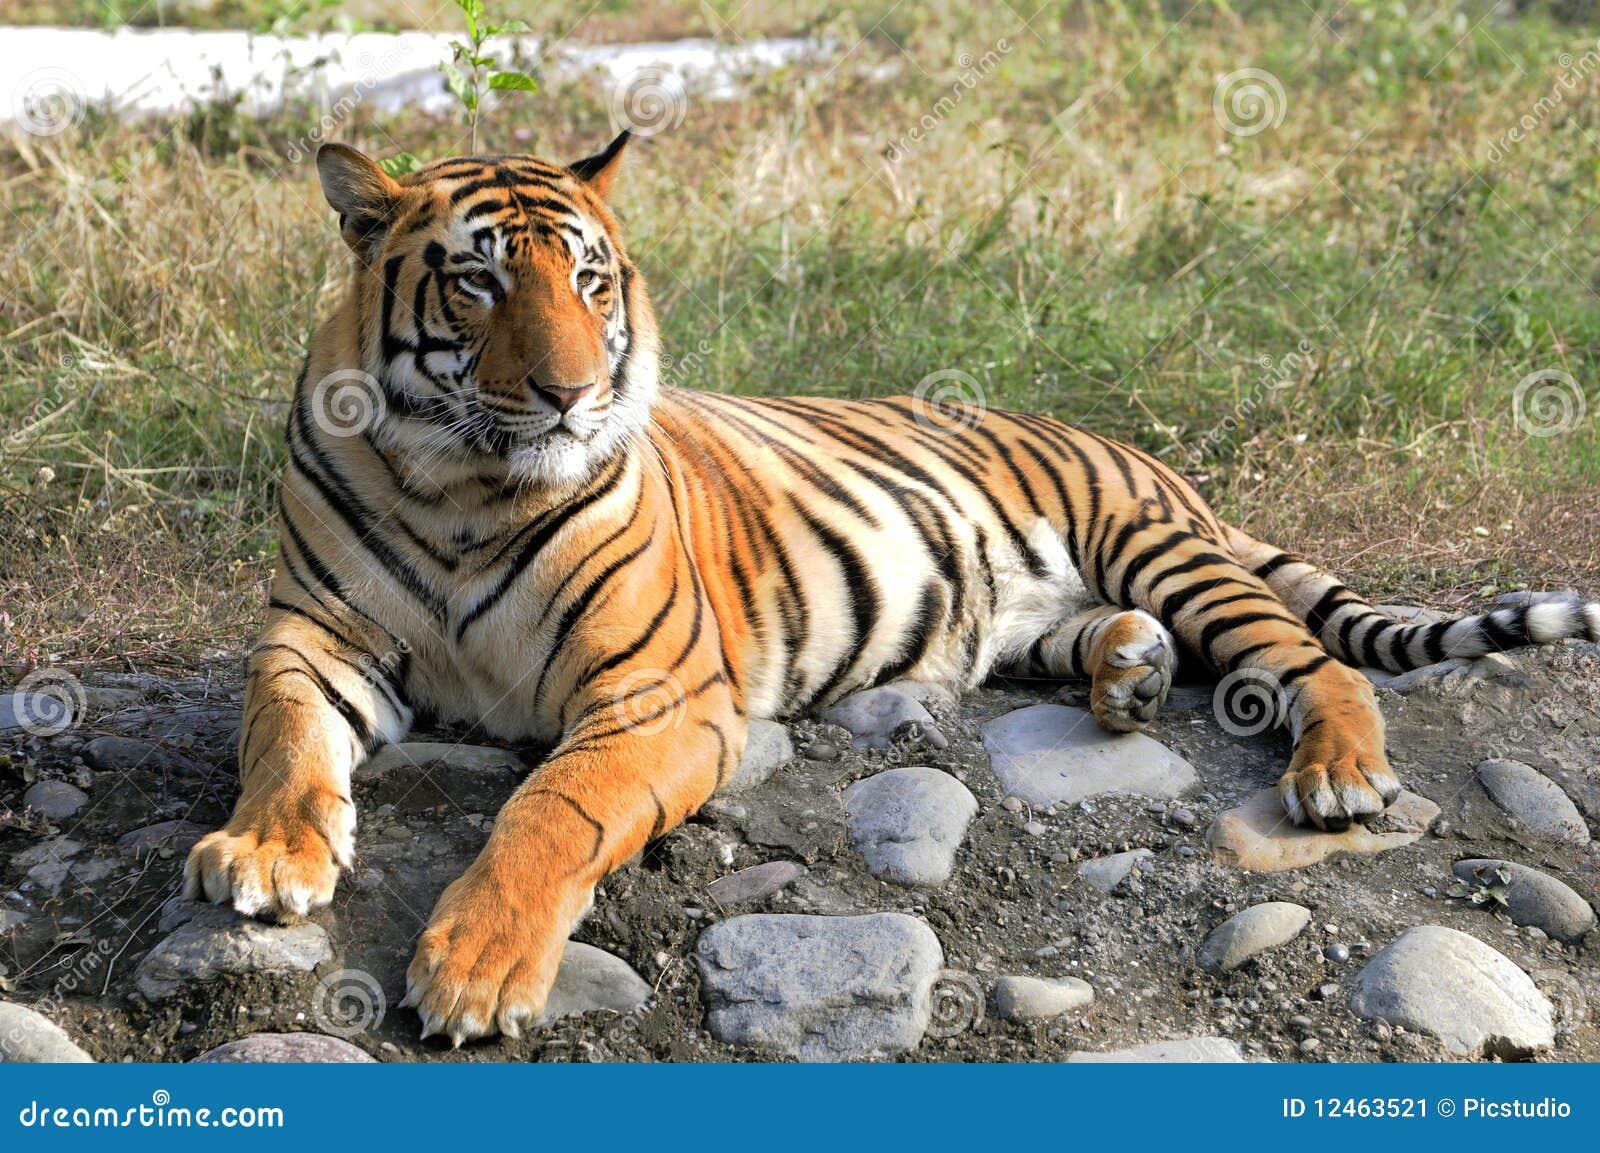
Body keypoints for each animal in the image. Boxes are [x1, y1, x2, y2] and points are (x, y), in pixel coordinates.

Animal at [185, 131, 1600, 1046]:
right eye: (477, 280)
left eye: (589, 279)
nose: (572, 392)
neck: (465, 488)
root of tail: (1139, 453)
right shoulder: (312, 638)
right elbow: (281, 740)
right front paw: (262, 854)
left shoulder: (658, 693)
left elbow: (550, 809)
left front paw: (474, 967)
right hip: (1025, 621)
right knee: (1125, 645)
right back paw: (1129, 677)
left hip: (1158, 545)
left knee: (1311, 660)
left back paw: (1337, 774)